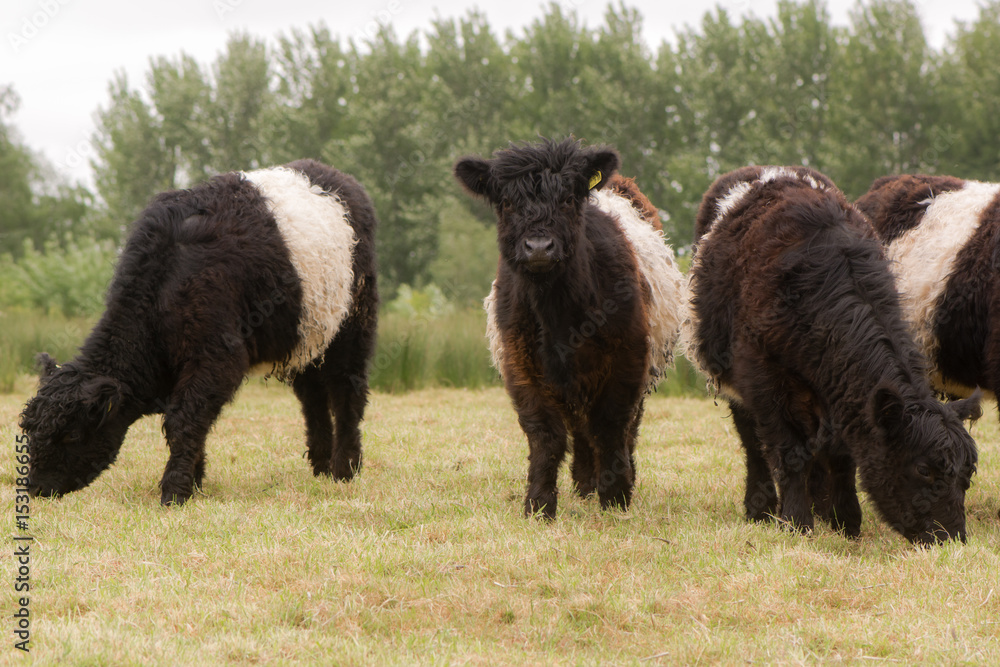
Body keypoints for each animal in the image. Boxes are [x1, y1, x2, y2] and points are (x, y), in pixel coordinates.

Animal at [20, 159, 378, 505]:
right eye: (29, 430)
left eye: (72, 435)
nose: (35, 488)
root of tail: (333, 174)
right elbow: (191, 422)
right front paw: (194, 482)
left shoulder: (216, 356)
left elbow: (184, 420)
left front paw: (175, 491)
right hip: (307, 336)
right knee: (313, 396)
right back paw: (320, 467)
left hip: (354, 323)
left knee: (347, 389)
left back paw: (345, 469)